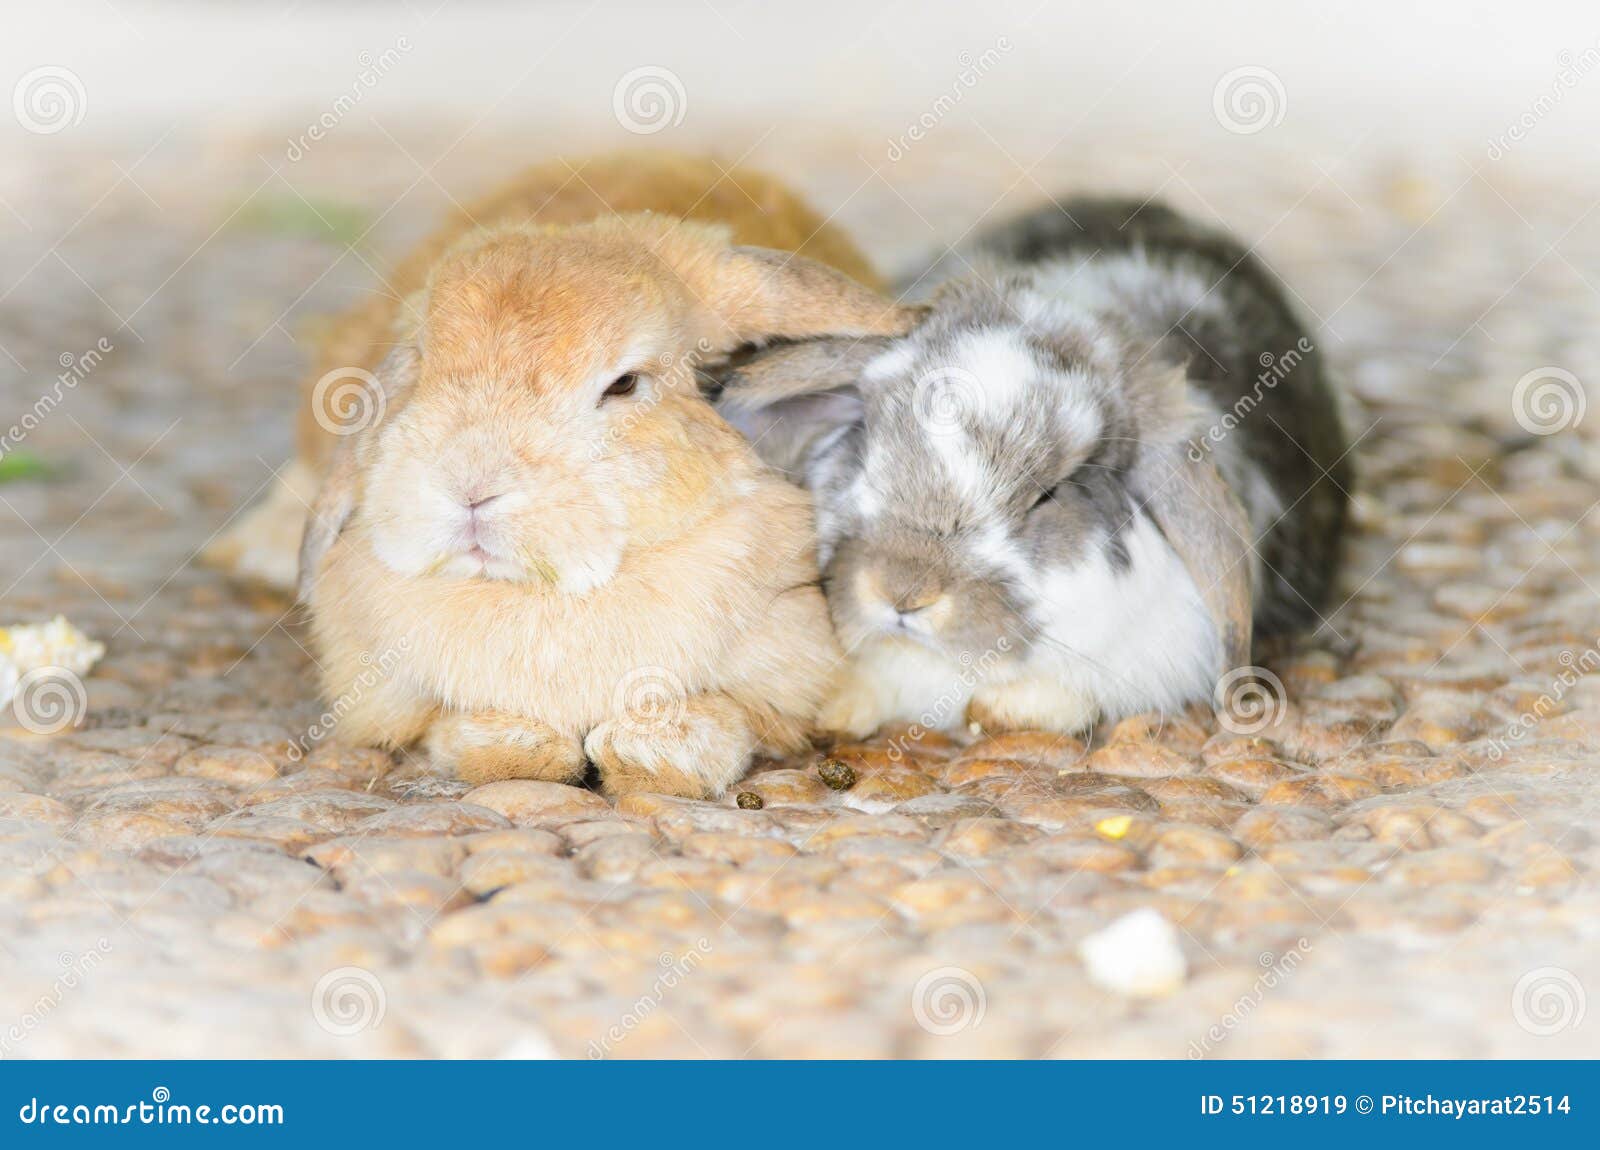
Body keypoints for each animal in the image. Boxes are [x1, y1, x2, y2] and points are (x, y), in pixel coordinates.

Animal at [249, 153, 915, 797]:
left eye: (623, 384)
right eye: (424, 364)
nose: (469, 487)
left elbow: (713, 723)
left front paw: (645, 754)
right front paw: (522, 744)